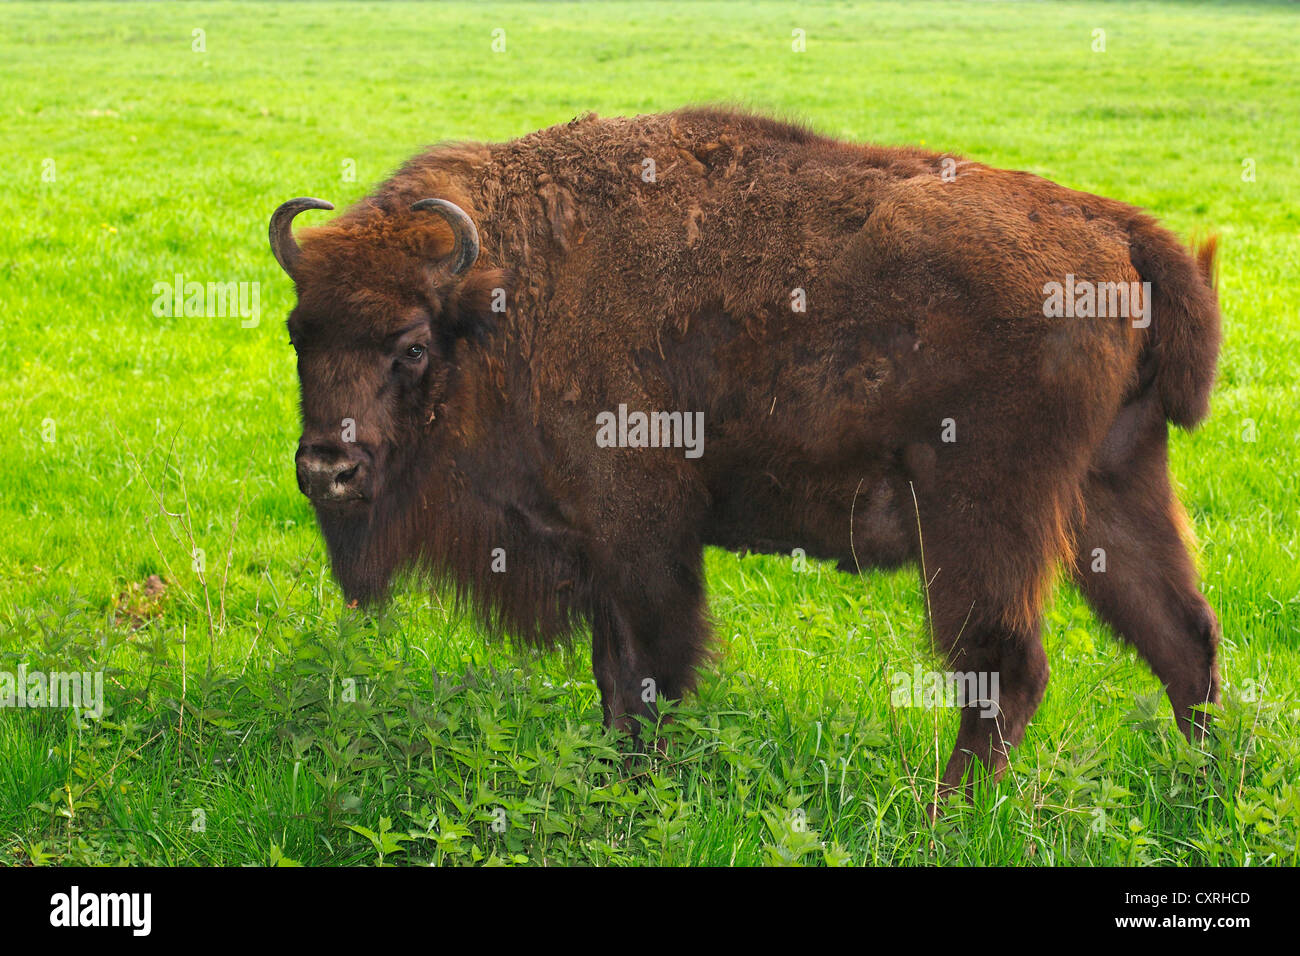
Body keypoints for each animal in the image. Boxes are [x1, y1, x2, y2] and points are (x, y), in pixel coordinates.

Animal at [270, 108, 1221, 795]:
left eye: (410, 346)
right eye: (297, 335)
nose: (327, 466)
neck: (500, 299)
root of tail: (1112, 227)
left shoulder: (640, 536)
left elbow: (650, 674)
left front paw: (641, 794)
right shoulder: (600, 549)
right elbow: (615, 678)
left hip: (980, 517)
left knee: (1005, 668)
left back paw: (946, 815)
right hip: (1114, 485)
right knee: (1184, 638)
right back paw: (1209, 788)